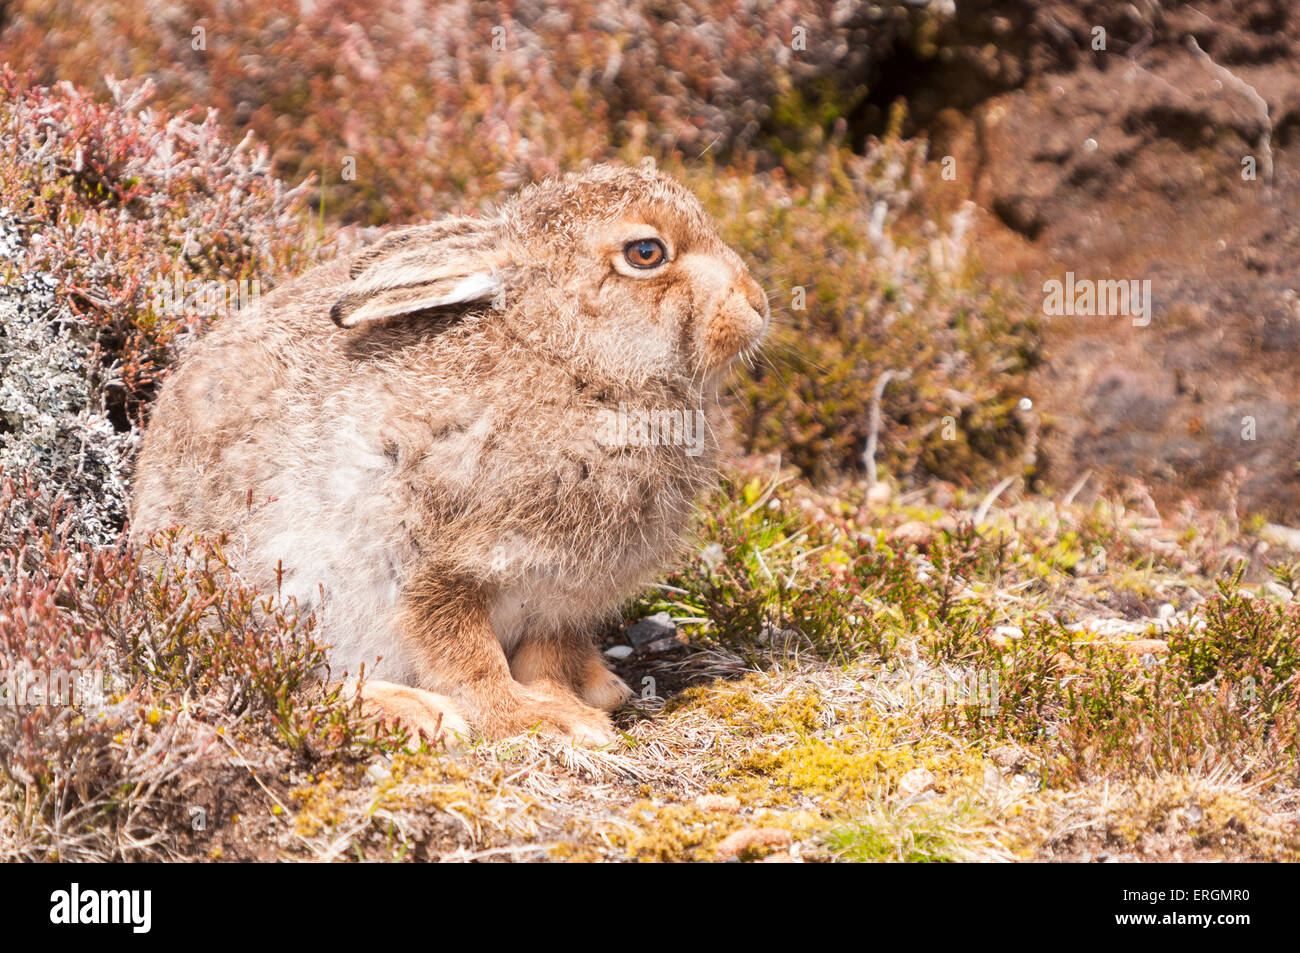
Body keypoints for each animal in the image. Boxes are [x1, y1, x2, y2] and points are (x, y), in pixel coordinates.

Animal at [130, 163, 769, 746]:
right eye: (646, 252)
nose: (758, 304)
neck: (571, 359)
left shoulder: (560, 599)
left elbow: (545, 658)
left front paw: (566, 707)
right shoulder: (437, 563)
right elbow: (467, 657)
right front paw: (542, 721)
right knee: (285, 680)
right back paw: (415, 713)